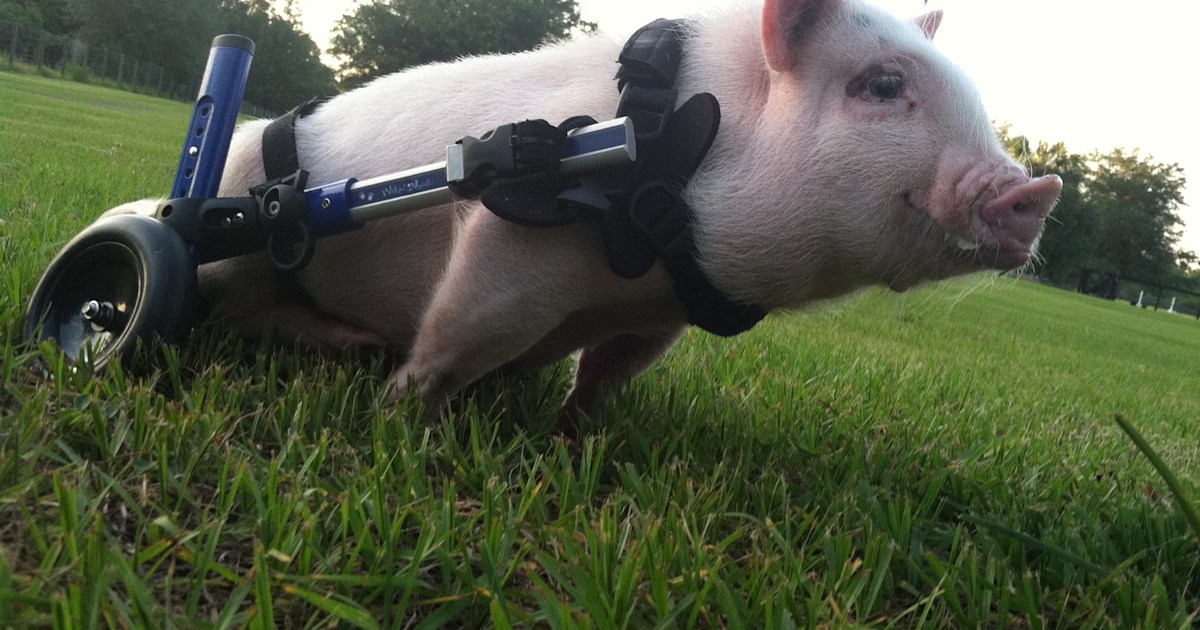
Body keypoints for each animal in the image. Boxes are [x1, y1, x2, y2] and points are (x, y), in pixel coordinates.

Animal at [110, 0, 1062, 416]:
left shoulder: (661, 310)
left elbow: (610, 371)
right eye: (883, 85)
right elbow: (459, 335)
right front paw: (399, 413)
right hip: (217, 251)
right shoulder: (512, 237)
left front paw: (577, 434)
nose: (1037, 189)